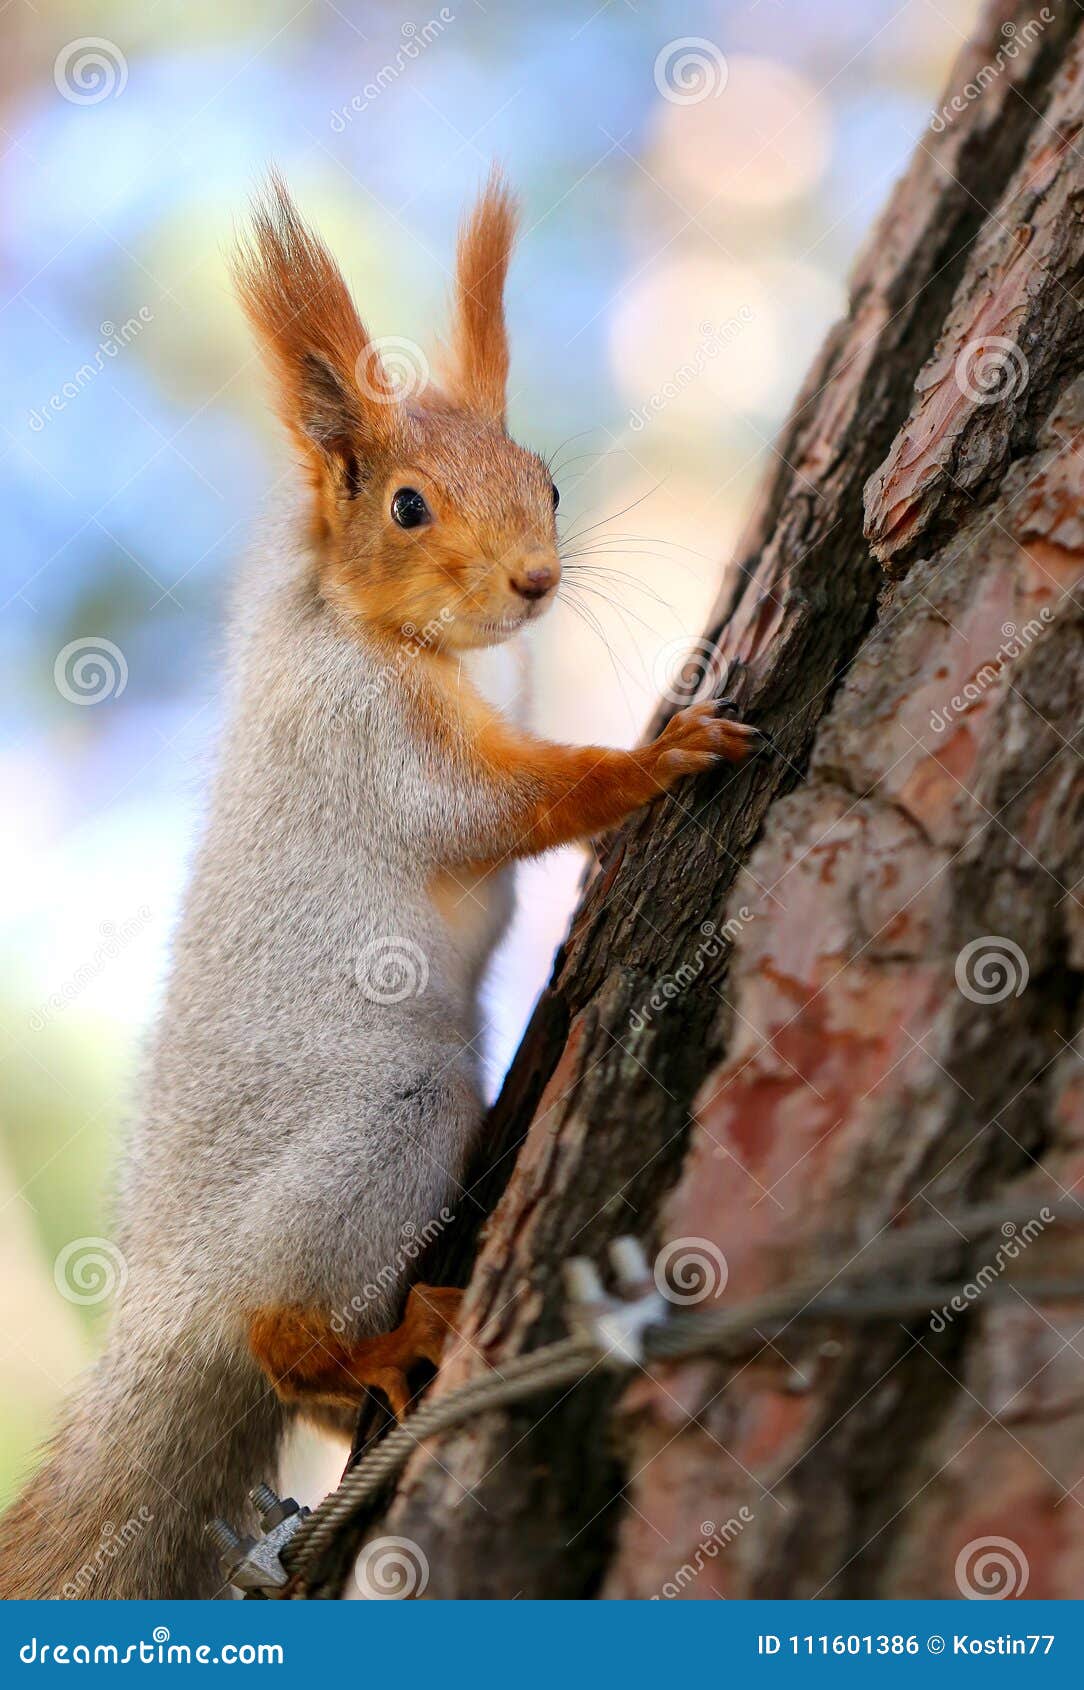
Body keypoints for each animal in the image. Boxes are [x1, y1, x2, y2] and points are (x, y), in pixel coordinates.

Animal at [0, 171, 760, 1599]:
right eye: (406, 507)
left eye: (548, 482)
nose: (534, 582)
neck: (367, 626)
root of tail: (159, 1326)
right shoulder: (371, 743)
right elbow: (505, 806)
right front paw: (652, 756)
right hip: (384, 1130)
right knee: (280, 1336)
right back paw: (381, 1337)